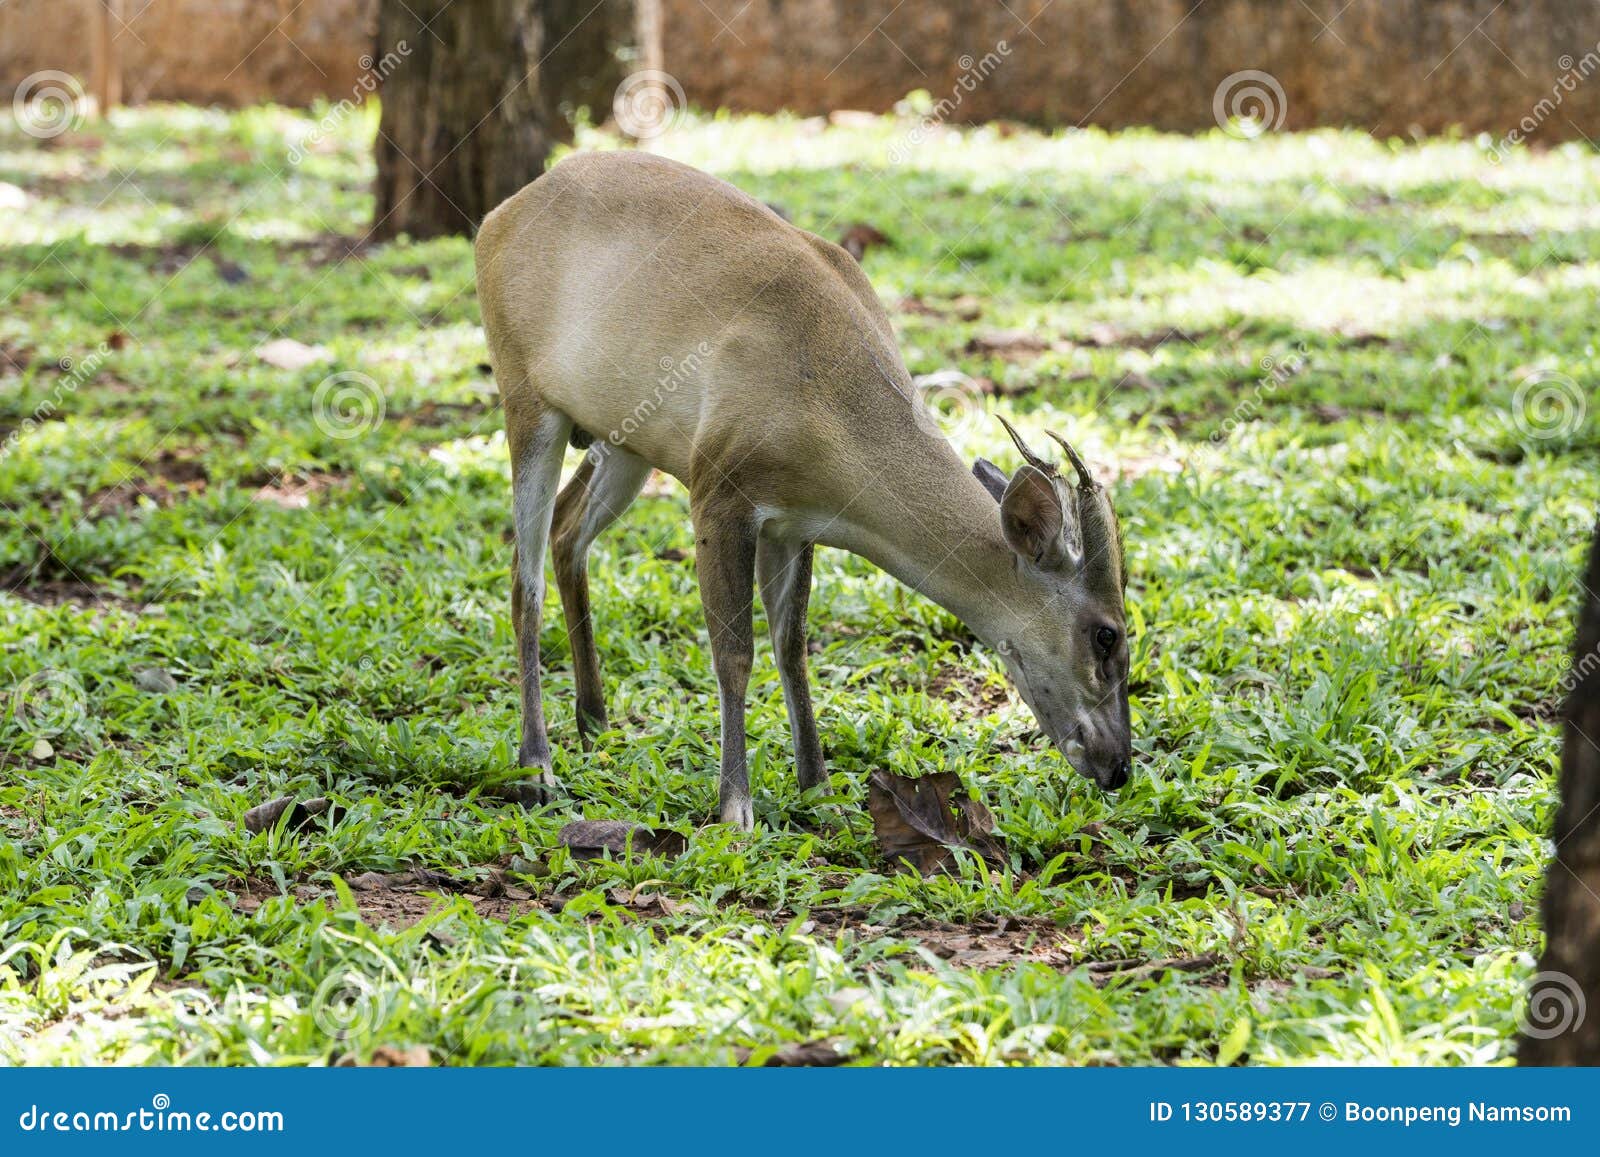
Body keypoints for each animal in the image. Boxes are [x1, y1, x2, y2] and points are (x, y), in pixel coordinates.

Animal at [474, 151, 1131, 829]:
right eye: (1107, 633)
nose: (1119, 767)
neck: (825, 395)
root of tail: (499, 216)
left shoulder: (794, 522)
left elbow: (791, 646)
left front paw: (819, 787)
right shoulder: (718, 489)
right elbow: (734, 653)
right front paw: (735, 808)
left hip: (626, 442)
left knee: (567, 530)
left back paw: (595, 721)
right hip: (527, 400)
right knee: (524, 580)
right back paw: (536, 767)